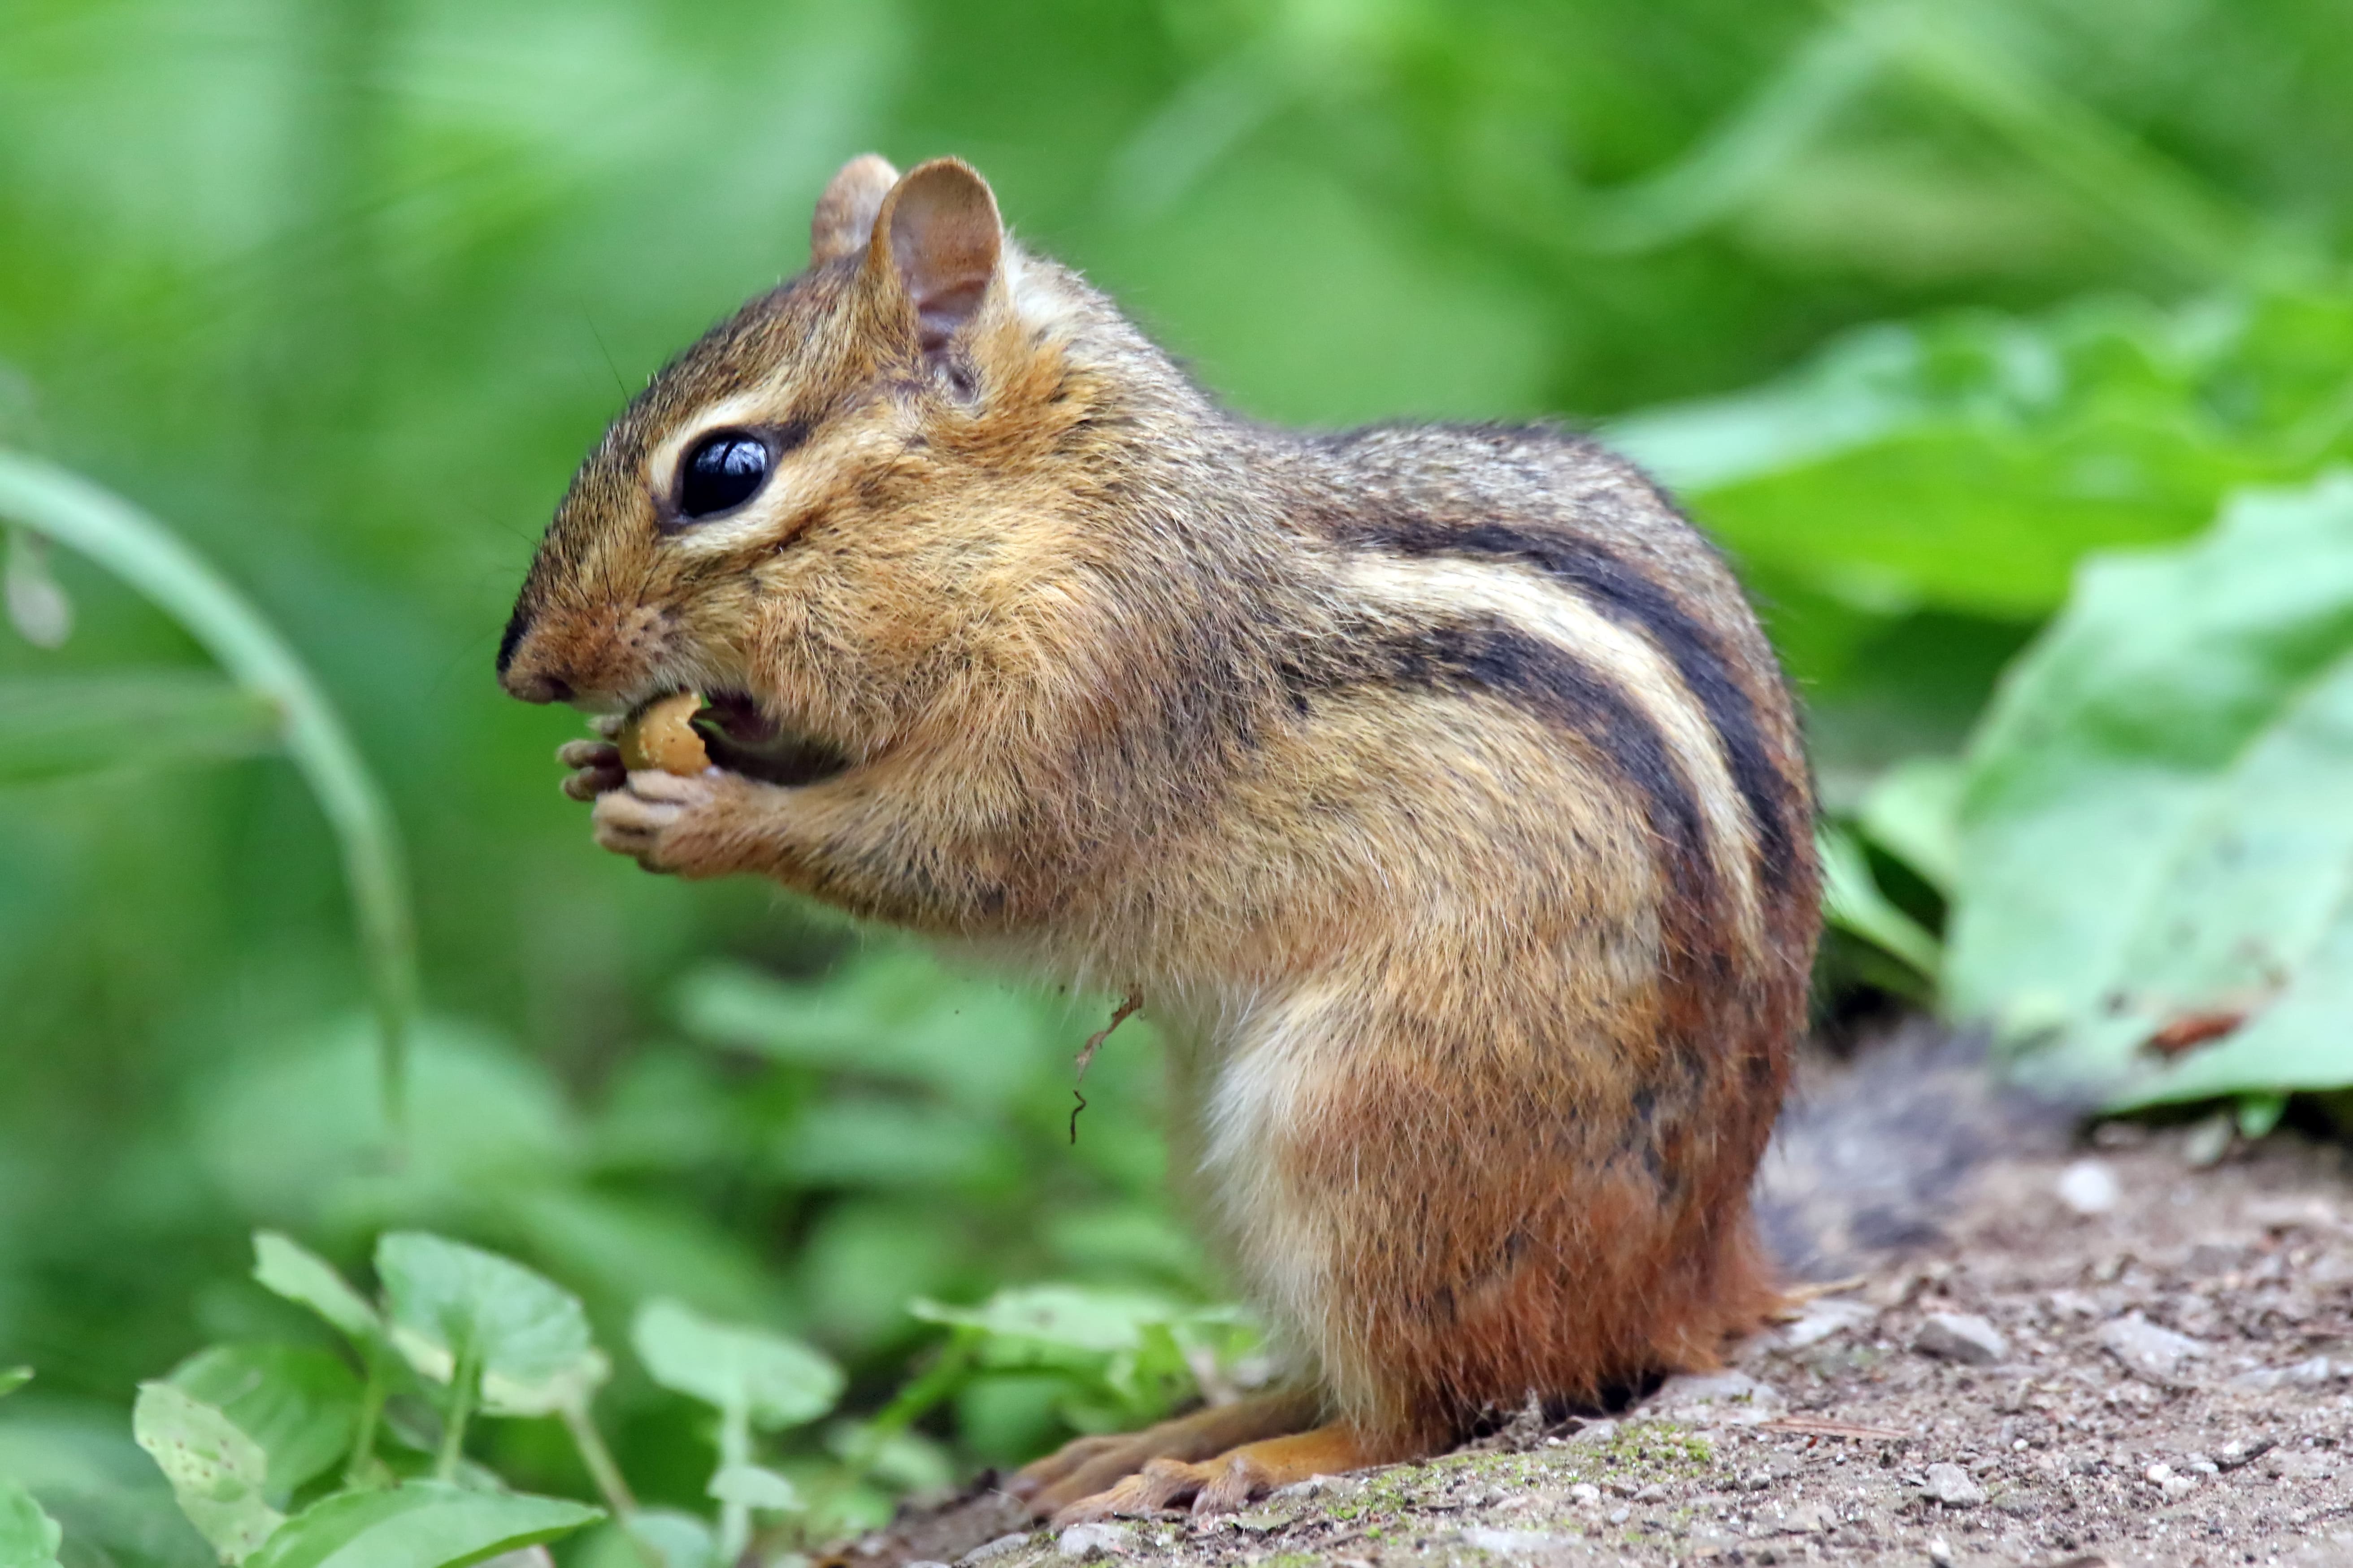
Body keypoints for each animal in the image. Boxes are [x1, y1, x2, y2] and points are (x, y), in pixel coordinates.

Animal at [497, 154, 1821, 1523]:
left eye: (725, 470)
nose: (523, 668)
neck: (1065, 508)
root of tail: (1693, 1281)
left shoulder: (1082, 711)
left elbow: (943, 857)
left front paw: (706, 815)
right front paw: (603, 761)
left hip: (1359, 1131)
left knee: (1427, 1408)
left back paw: (1236, 1459)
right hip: (1214, 1157)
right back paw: (1151, 1437)